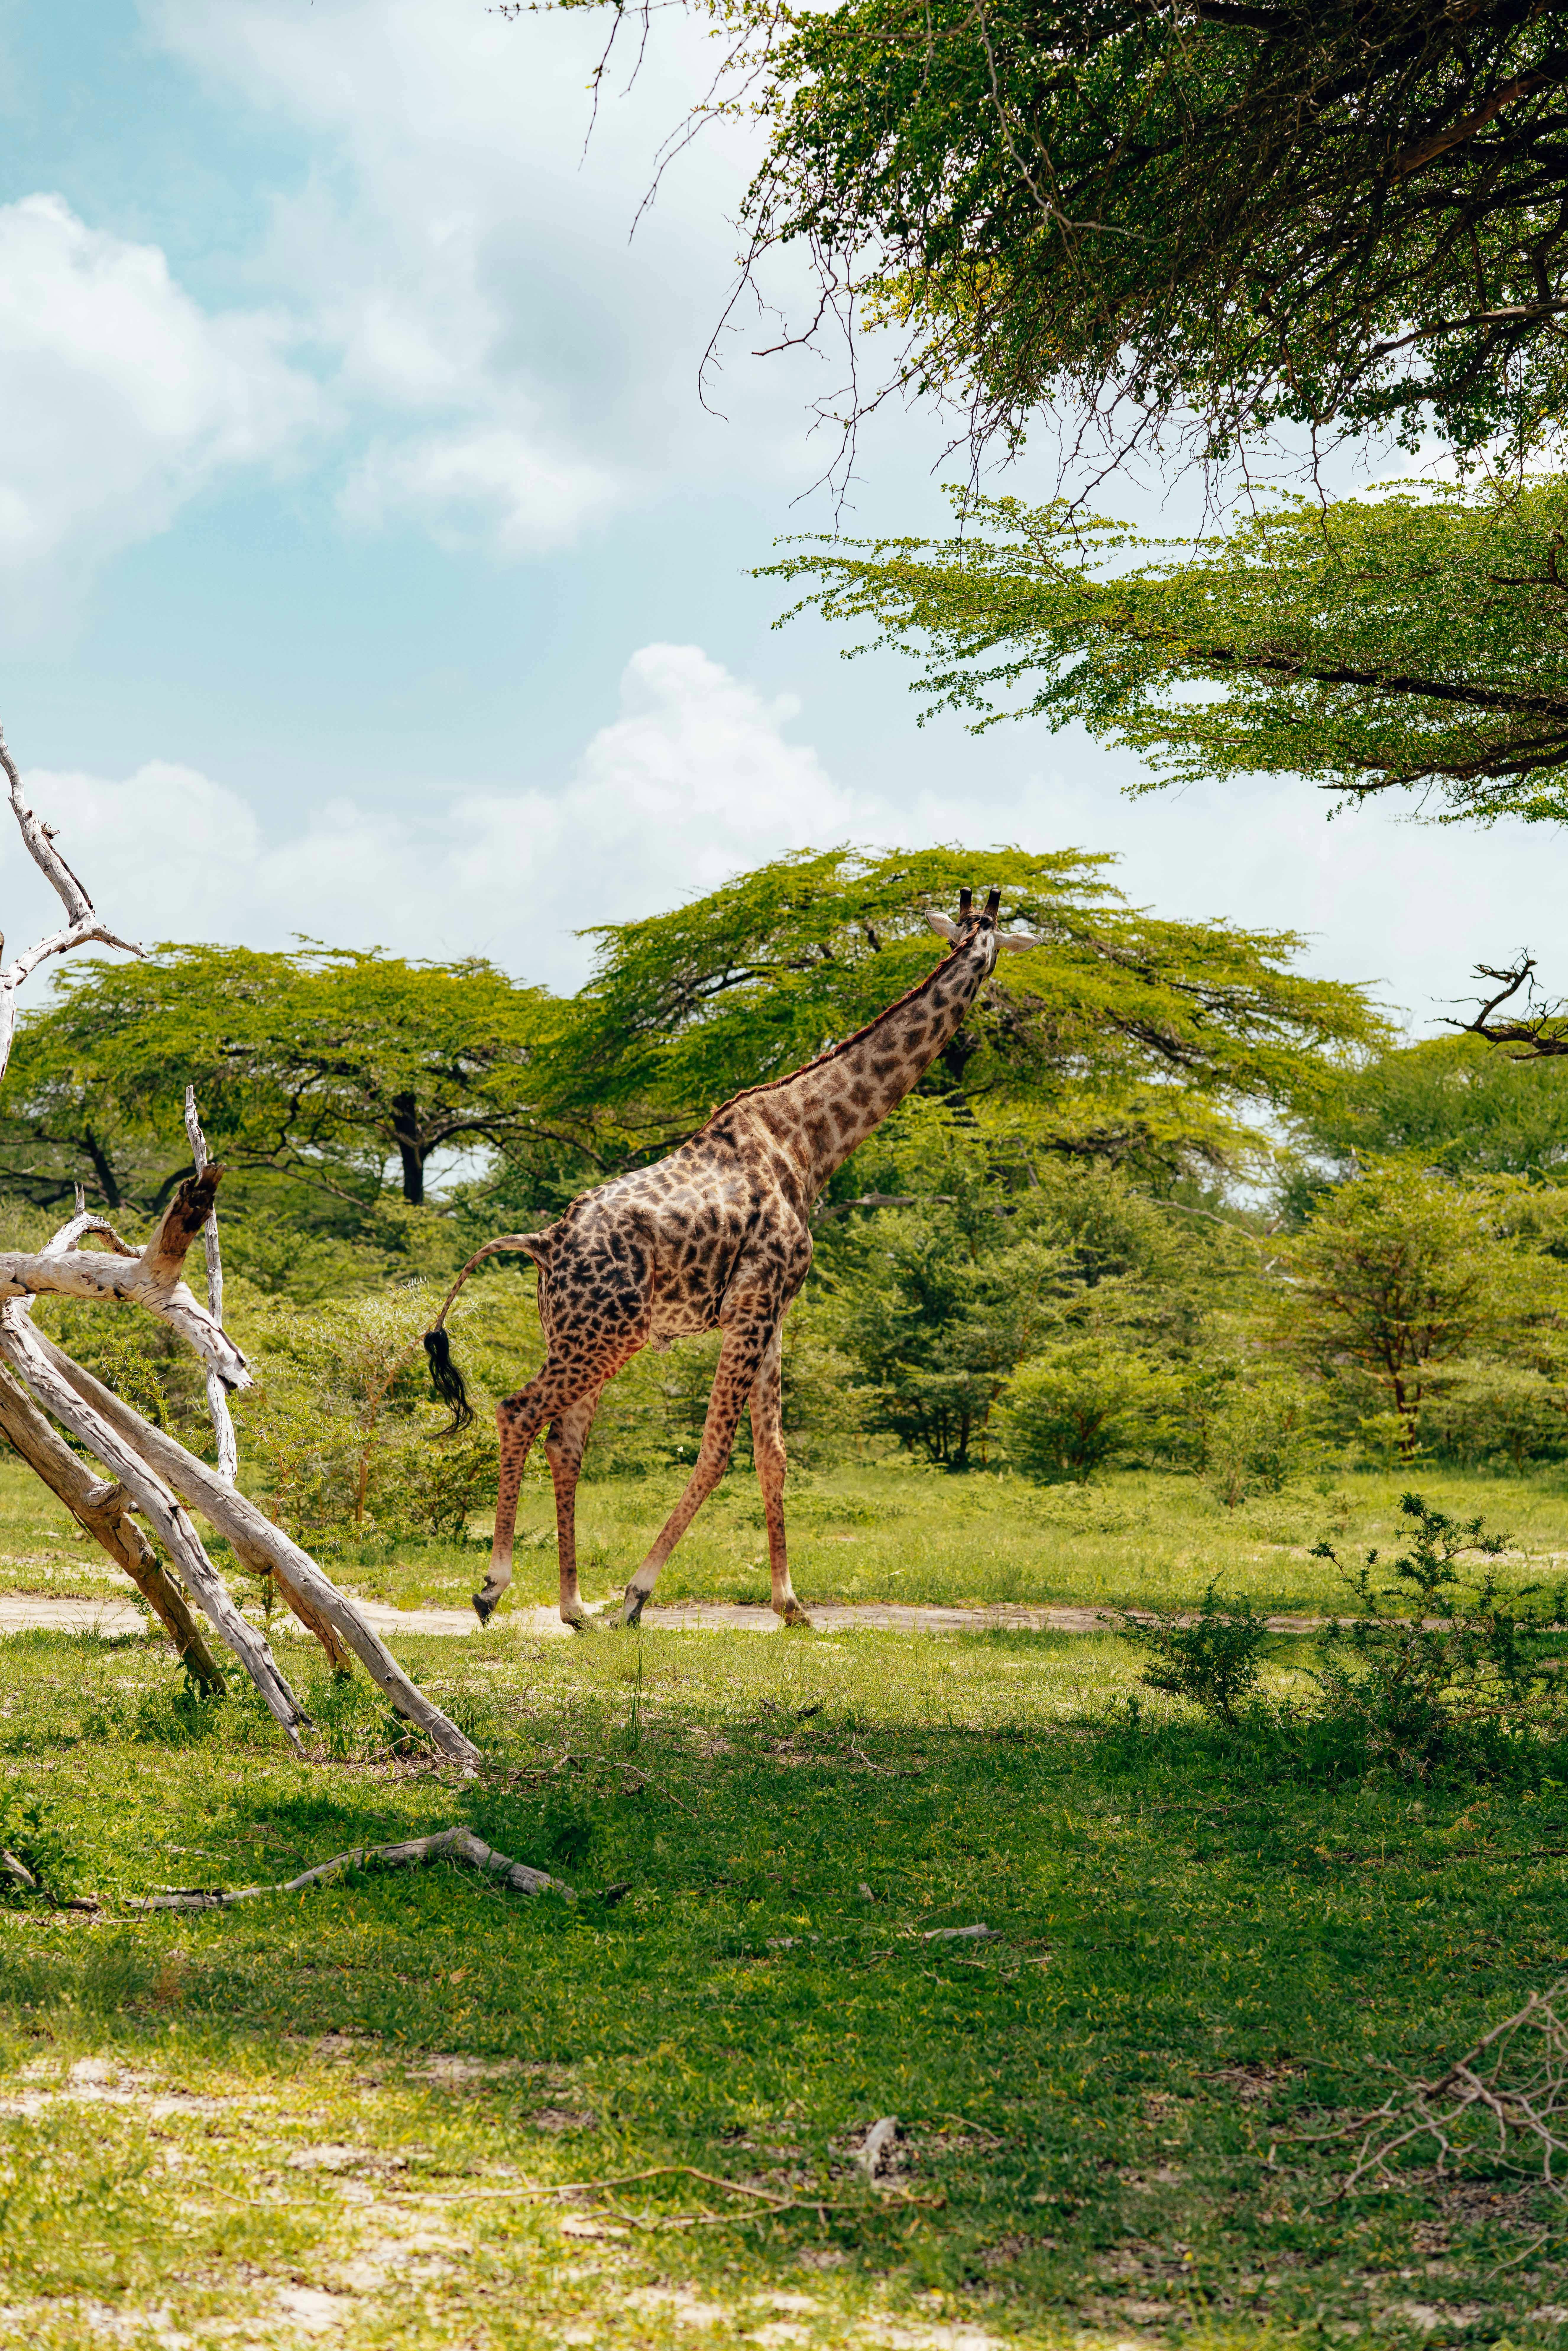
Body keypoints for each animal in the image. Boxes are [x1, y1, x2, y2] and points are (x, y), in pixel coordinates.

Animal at [435, 885, 1035, 1631]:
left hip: (583, 1335)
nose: (1004, 1005)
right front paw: (637, 1595)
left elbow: (772, 1452)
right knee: (519, 1410)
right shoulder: (755, 1300)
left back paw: (573, 1608)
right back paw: (494, 1588)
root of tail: (544, 1243)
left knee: (564, 1438)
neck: (810, 1140)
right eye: (990, 951)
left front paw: (791, 1605)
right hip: (603, 1338)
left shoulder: (772, 1311)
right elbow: (718, 1449)